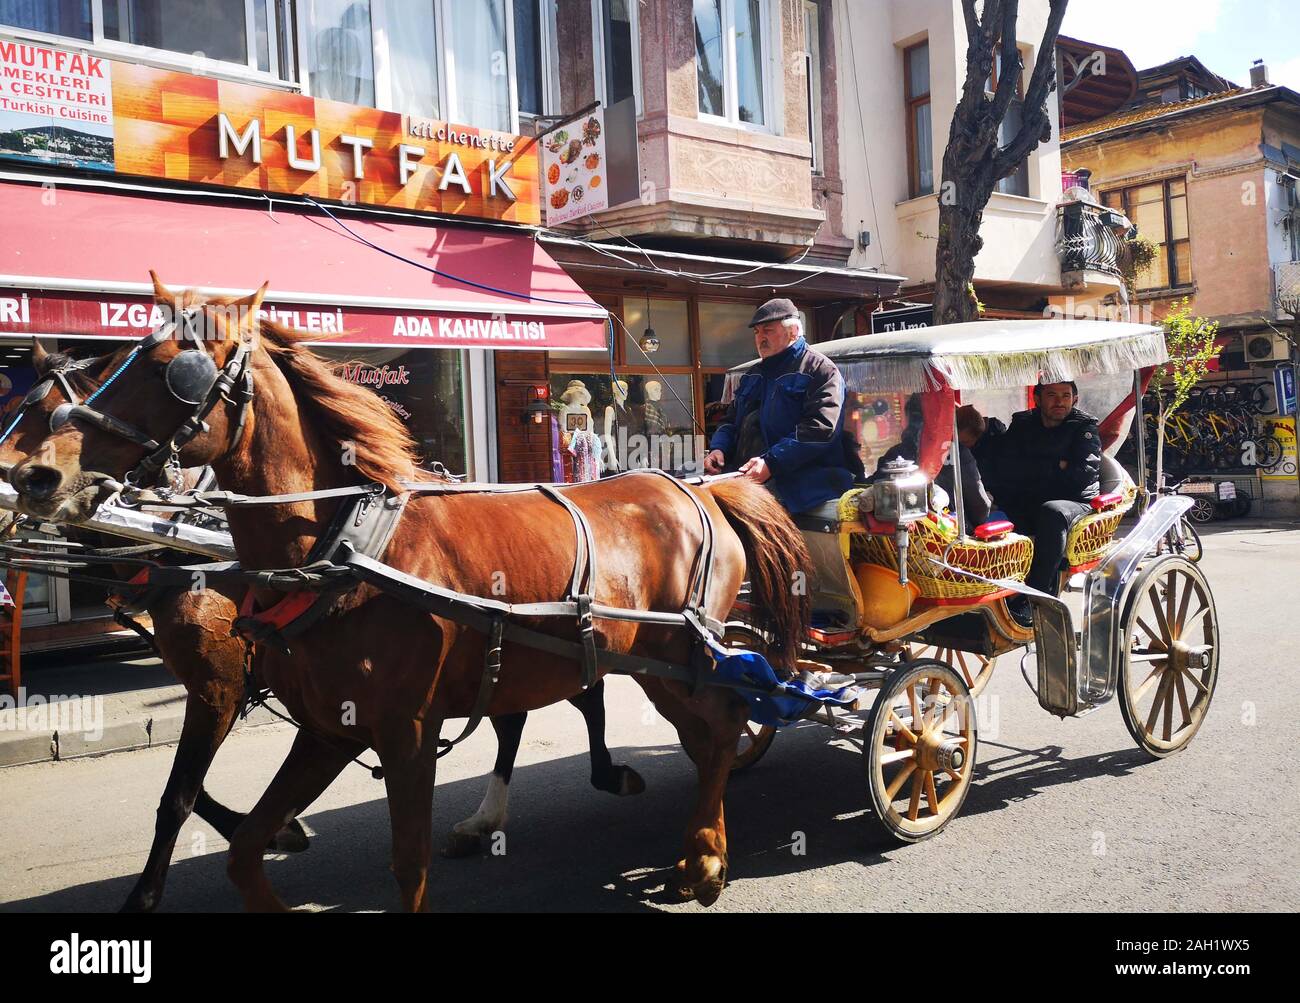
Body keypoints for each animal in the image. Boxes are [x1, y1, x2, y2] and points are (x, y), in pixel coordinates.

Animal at [9, 277, 809, 910]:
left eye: (171, 370)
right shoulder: (327, 729)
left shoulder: (397, 730)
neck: (343, 545)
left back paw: (702, 855)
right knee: (691, 730)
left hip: (678, 655)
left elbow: (405, 864)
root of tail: (702, 488)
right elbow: (241, 854)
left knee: (718, 725)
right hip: (630, 658)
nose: (36, 475)